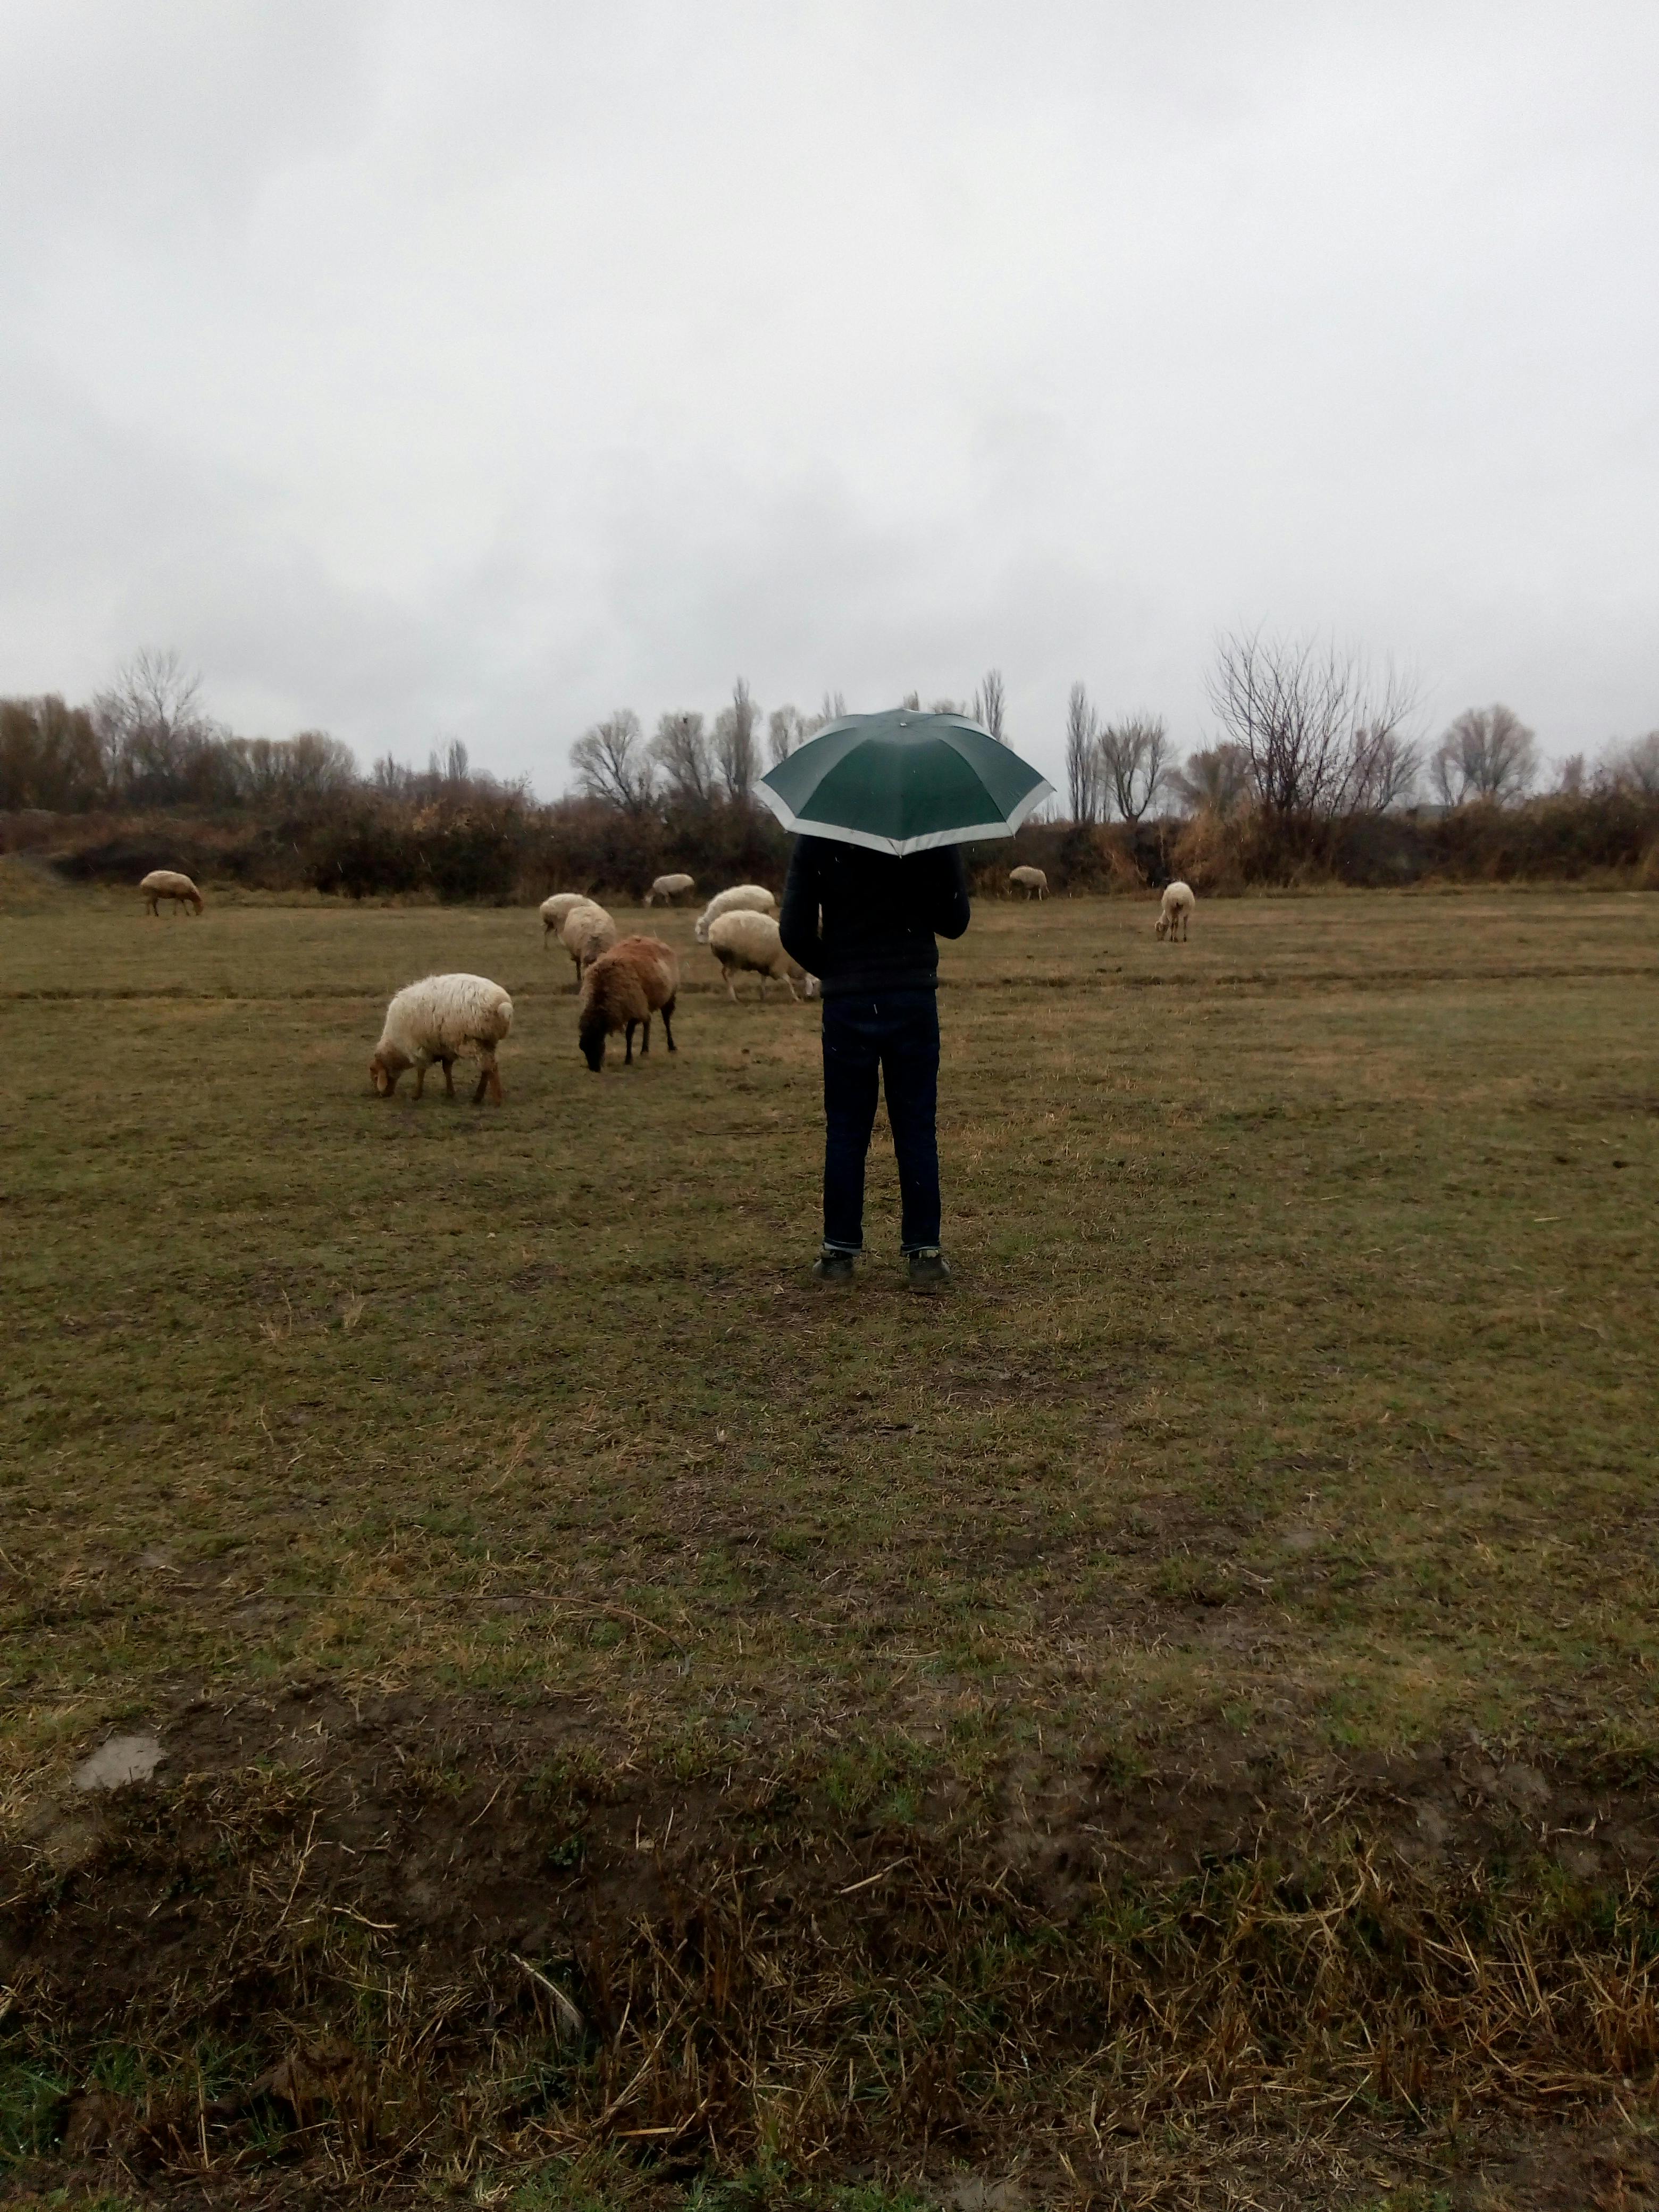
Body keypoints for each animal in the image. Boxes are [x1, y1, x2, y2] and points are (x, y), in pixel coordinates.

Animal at [369, 974, 513, 1104]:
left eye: (376, 1077)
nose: (382, 1095)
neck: (396, 1047)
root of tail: (502, 1005)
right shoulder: (445, 1049)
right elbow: (447, 1069)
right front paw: (450, 1092)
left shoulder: (418, 1047)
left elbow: (421, 1071)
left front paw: (416, 1095)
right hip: (488, 1041)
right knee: (489, 1067)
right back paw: (480, 1097)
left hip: (473, 1041)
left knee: (490, 1067)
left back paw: (493, 1099)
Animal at [579, 936, 679, 1070]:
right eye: (583, 1049)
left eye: (598, 1044)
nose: (595, 1069)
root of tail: (654, 940)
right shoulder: (637, 1006)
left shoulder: (633, 1009)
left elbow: (629, 1034)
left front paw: (628, 1059)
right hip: (644, 1002)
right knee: (648, 1021)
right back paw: (644, 1050)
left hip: (668, 995)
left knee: (666, 1020)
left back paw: (671, 1047)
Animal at [693, 883, 777, 944]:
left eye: (701, 933)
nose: (700, 943)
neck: (713, 915)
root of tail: (770, 897)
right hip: (764, 911)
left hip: (759, 910)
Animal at [707, 909, 819, 1003]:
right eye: (814, 984)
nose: (812, 998)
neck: (794, 963)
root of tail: (713, 931)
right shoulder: (778, 967)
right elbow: (788, 981)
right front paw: (796, 998)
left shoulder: (765, 965)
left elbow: (763, 980)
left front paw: (763, 996)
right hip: (735, 959)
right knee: (729, 976)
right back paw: (734, 999)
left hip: (727, 960)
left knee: (724, 974)